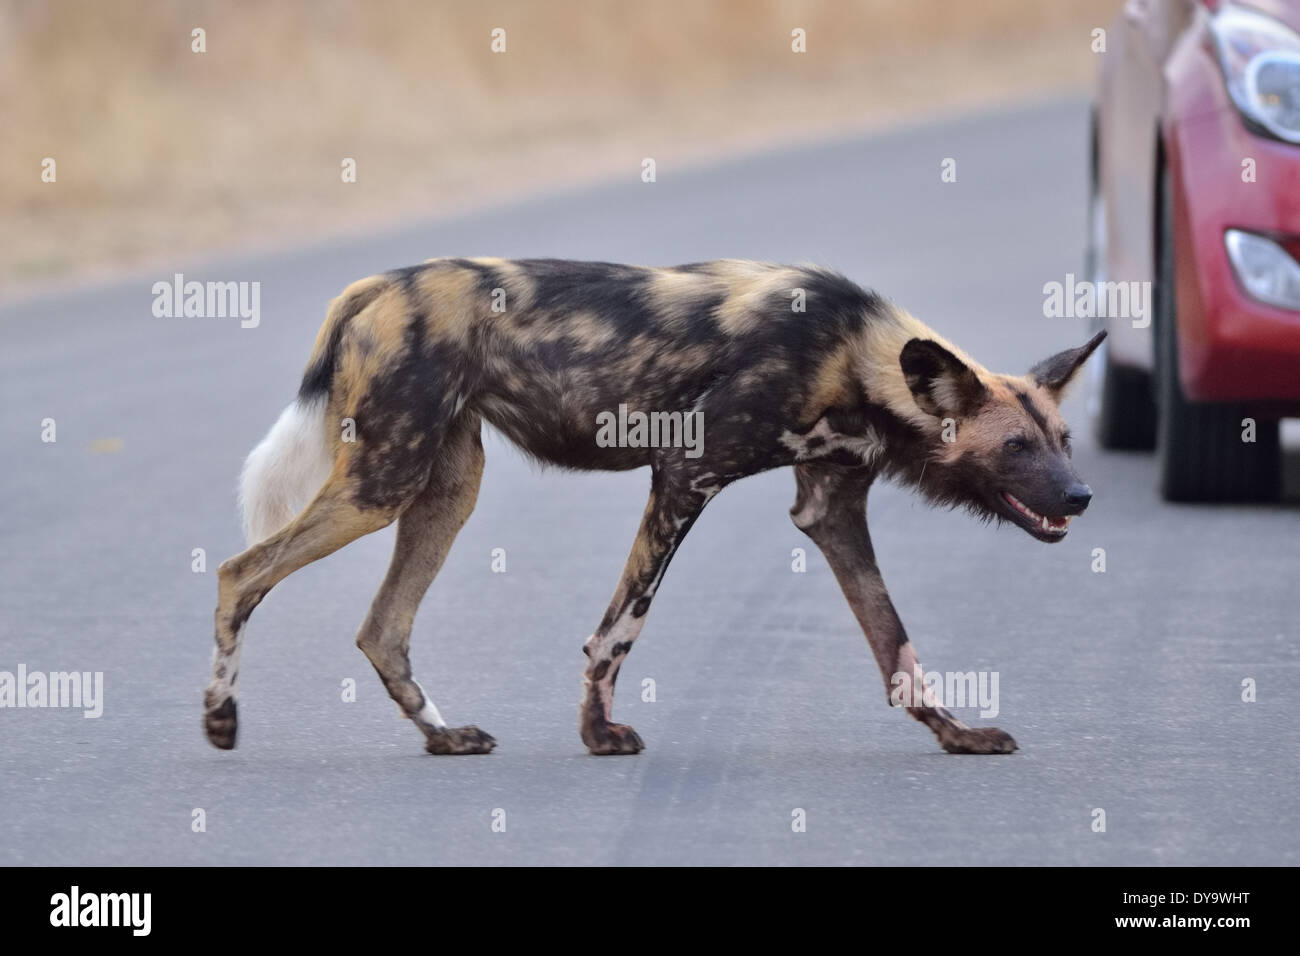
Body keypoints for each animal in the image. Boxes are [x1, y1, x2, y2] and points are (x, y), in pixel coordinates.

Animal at [204, 258, 1102, 756]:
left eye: (1062, 438)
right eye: (1015, 448)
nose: (1082, 495)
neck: (854, 355)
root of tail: (373, 287)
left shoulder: (832, 513)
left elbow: (899, 651)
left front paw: (956, 735)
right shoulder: (685, 476)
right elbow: (618, 631)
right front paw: (599, 736)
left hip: (445, 491)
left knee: (382, 629)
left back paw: (445, 738)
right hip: (381, 487)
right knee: (239, 573)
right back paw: (220, 717)